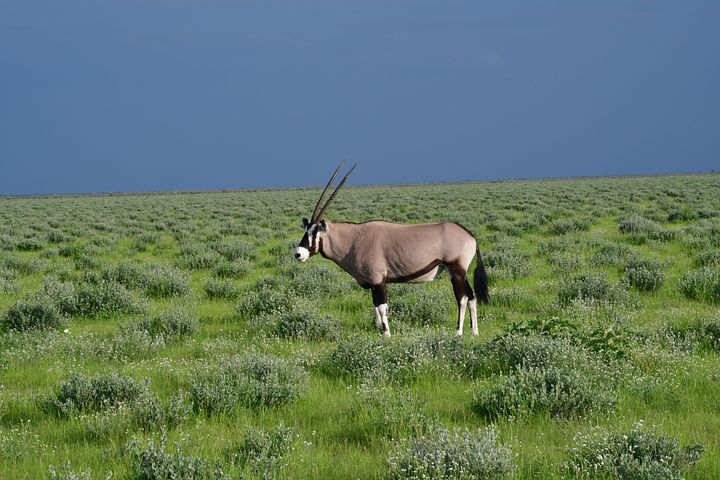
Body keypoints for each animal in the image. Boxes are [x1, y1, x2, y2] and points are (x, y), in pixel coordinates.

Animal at [294, 163, 489, 337]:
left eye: (315, 232)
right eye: (306, 229)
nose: (298, 253)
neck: (353, 239)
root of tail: (470, 235)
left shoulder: (378, 281)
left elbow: (382, 307)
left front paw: (387, 334)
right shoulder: (373, 283)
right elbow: (376, 307)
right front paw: (379, 331)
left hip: (456, 270)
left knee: (462, 298)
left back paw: (458, 333)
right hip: (460, 272)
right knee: (472, 297)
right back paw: (474, 332)